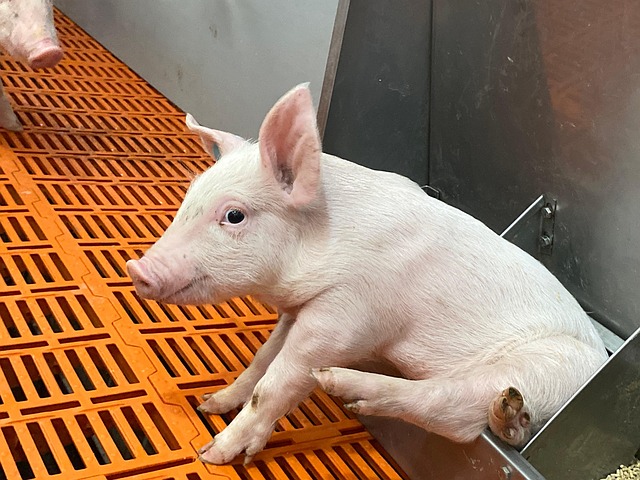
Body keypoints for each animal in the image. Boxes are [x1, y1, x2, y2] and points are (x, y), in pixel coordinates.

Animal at [126, 84, 608, 465]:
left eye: (234, 215)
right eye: (189, 196)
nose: (137, 268)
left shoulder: (346, 315)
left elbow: (278, 382)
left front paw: (211, 454)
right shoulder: (302, 308)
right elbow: (262, 359)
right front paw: (210, 405)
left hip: (541, 367)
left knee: (454, 411)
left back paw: (338, 385)